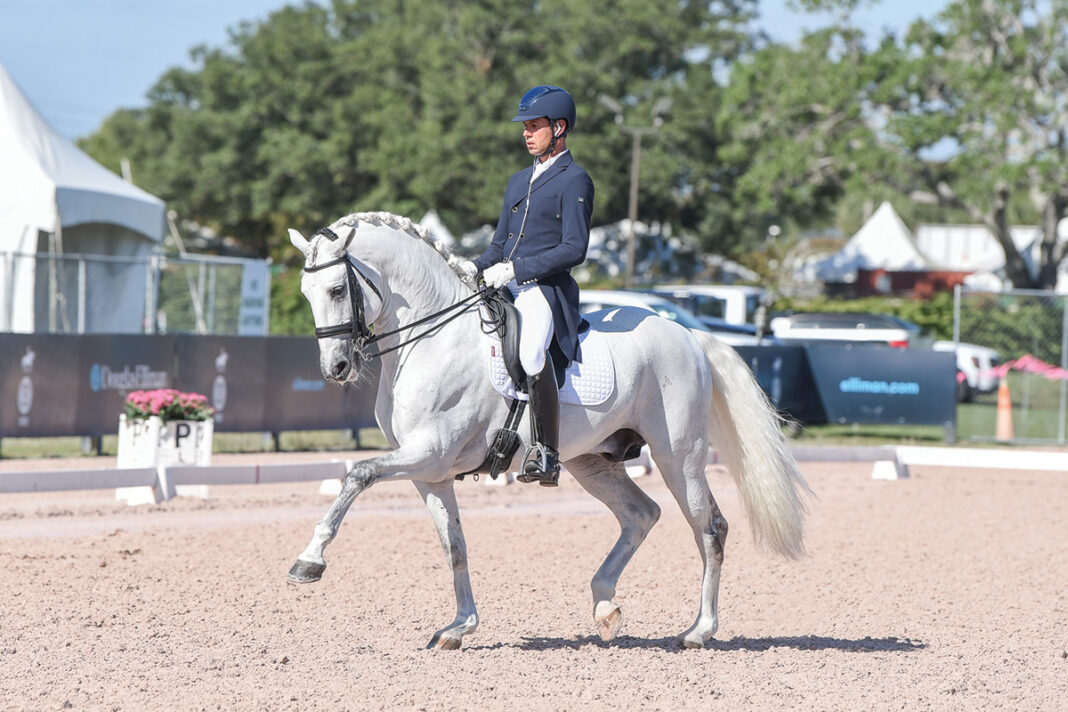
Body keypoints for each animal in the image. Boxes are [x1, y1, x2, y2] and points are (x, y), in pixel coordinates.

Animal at [286, 211, 810, 650]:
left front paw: (309, 561)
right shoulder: (428, 471)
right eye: (307, 294)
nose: (335, 368)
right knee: (642, 514)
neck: (435, 338)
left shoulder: (429, 452)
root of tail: (690, 335)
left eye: (337, 290)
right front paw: (459, 627)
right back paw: (605, 606)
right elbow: (454, 547)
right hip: (590, 461)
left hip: (678, 456)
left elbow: (358, 473)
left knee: (709, 527)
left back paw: (699, 631)